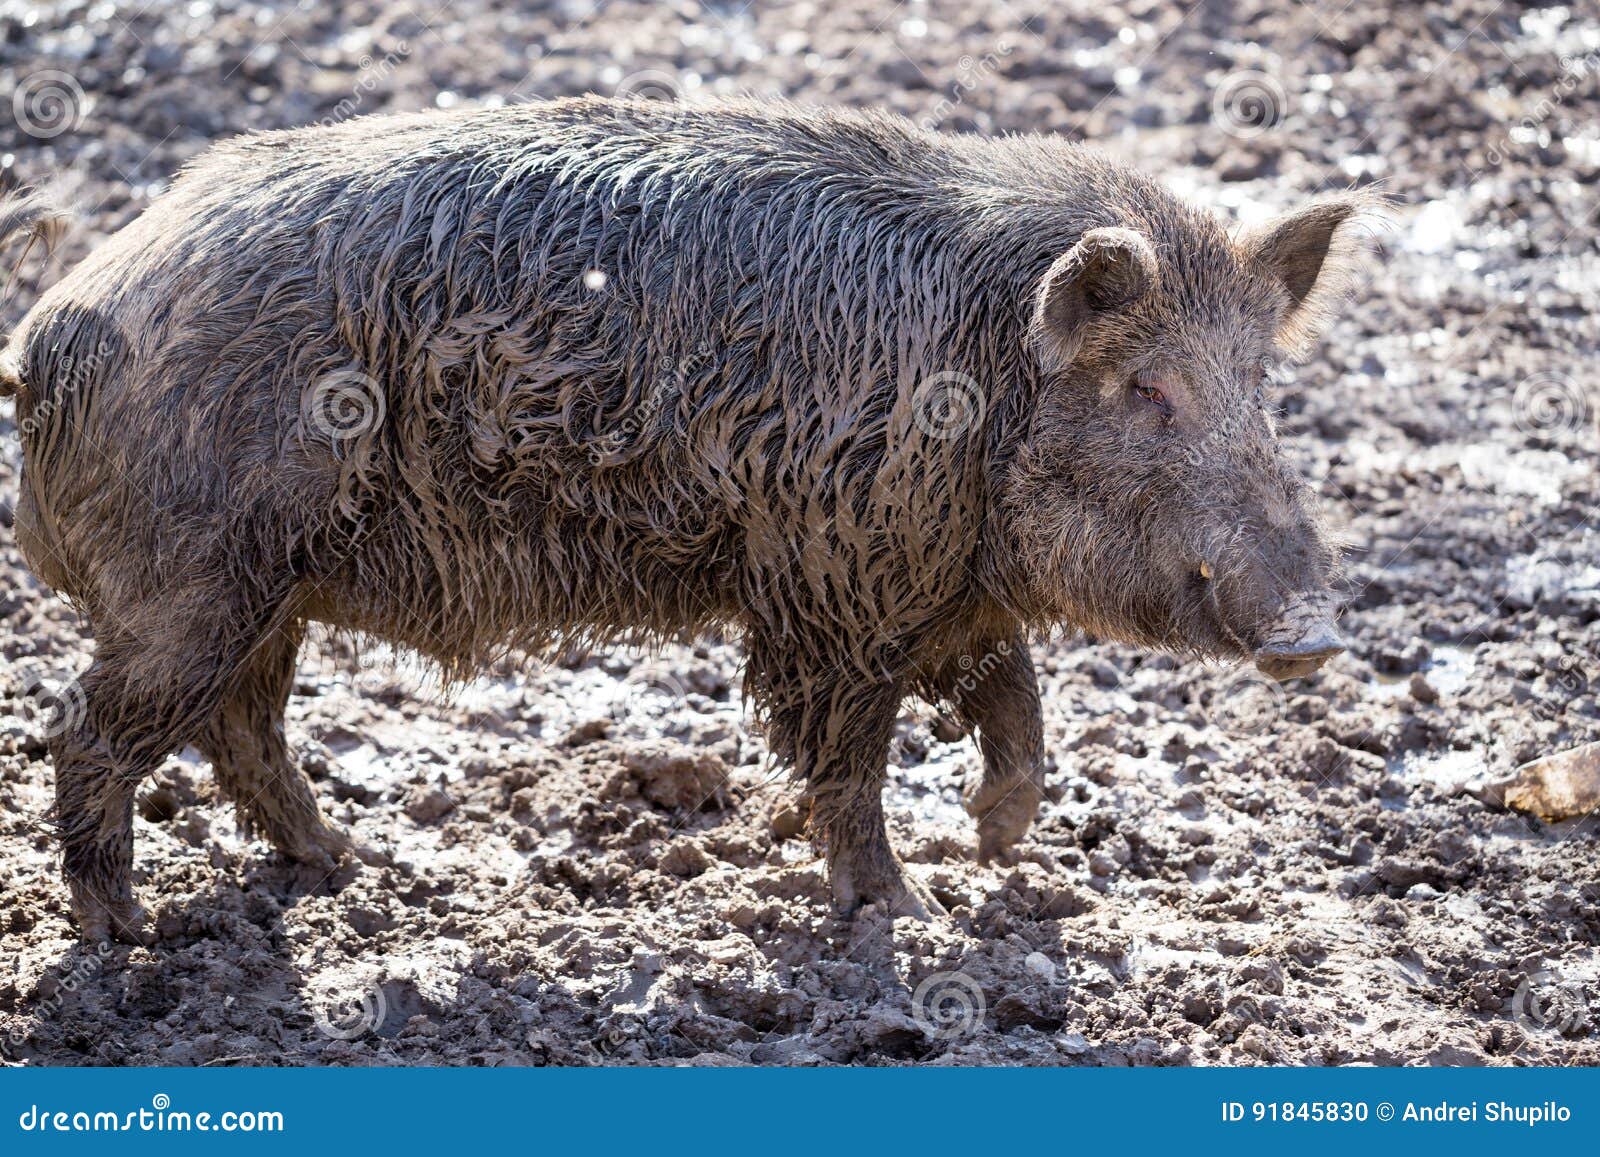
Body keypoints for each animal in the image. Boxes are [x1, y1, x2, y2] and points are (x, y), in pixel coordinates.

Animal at [0, 98, 1374, 942]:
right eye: (1148, 388)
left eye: (1257, 382)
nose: (1312, 630)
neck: (977, 378)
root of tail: (61, 320)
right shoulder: (833, 581)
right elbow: (854, 755)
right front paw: (903, 912)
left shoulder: (933, 581)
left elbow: (1011, 690)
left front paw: (997, 846)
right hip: (194, 579)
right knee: (94, 726)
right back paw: (127, 930)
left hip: (263, 588)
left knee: (239, 725)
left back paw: (353, 865)